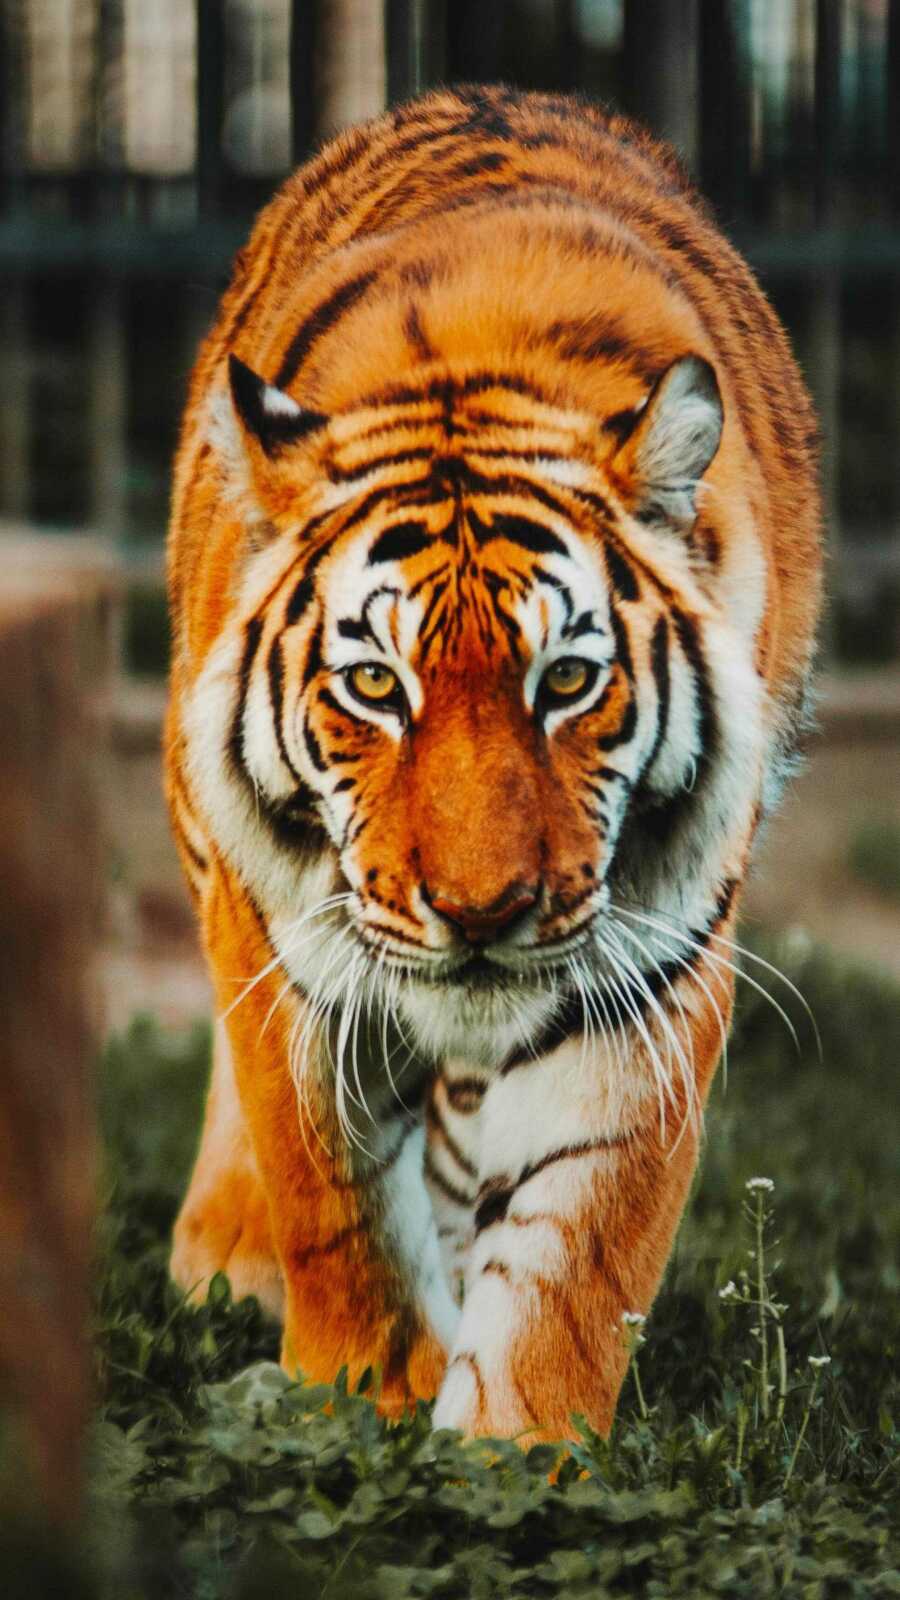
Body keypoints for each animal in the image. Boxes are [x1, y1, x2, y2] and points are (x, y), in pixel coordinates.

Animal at [165, 84, 821, 1442]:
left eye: (565, 681)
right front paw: (365, 1390)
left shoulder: (654, 956)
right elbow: (331, 1196)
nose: (479, 913)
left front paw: (514, 1449)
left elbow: (579, 1246)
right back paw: (223, 1265)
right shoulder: (286, 932)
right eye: (375, 685)